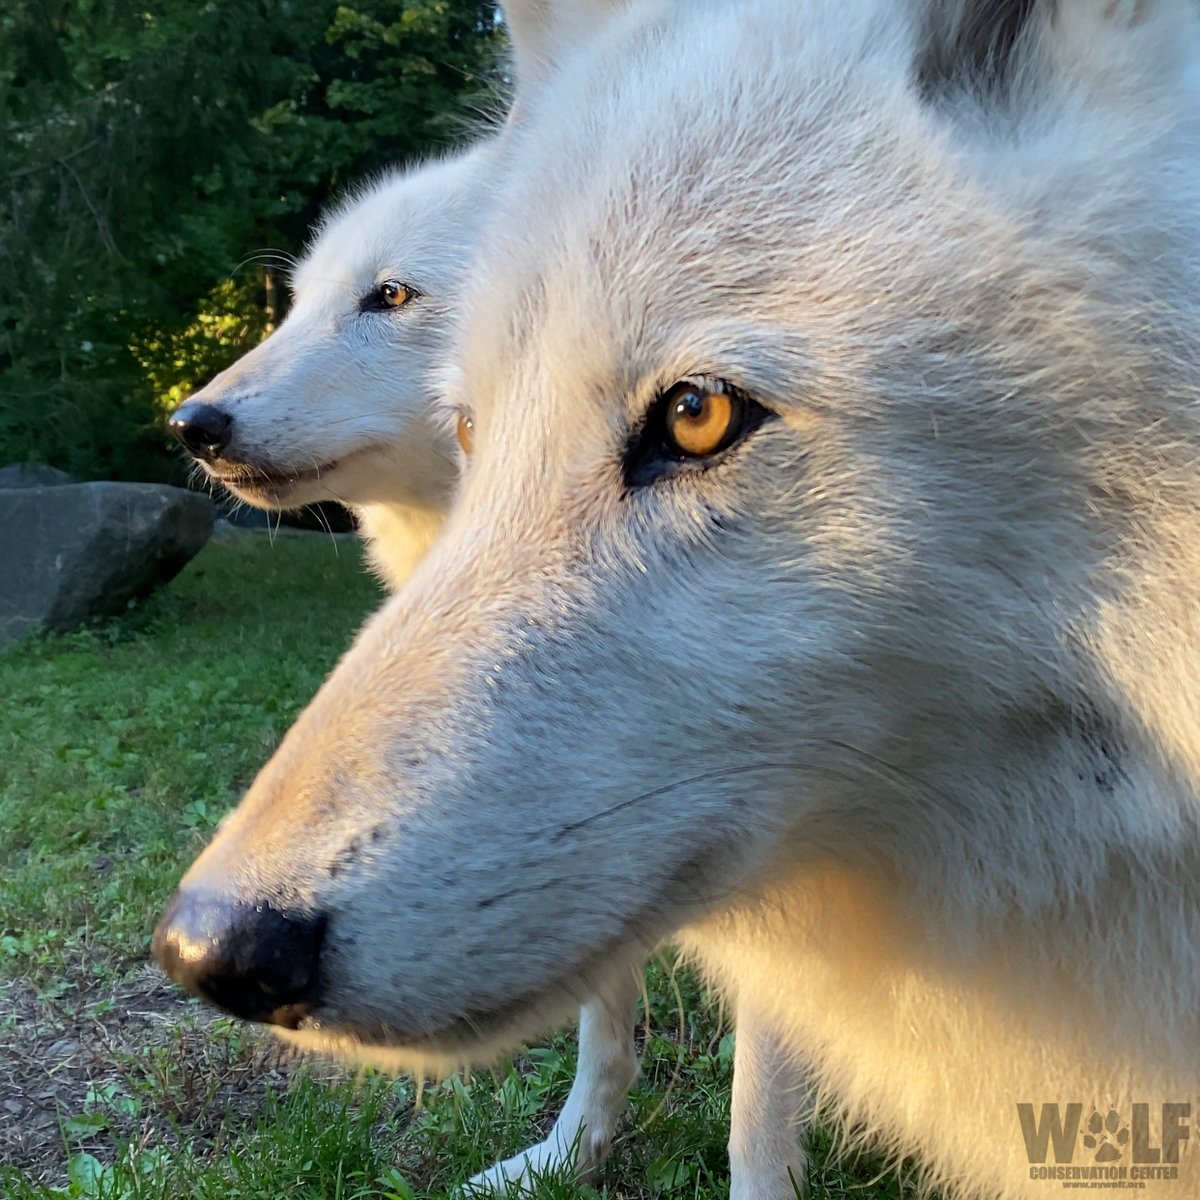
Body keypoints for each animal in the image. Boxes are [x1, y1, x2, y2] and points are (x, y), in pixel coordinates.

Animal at [154, 0, 1200, 1196]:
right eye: (471, 429)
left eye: (698, 415)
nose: (206, 949)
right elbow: (603, 1020)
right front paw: (568, 1154)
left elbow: (753, 1110)